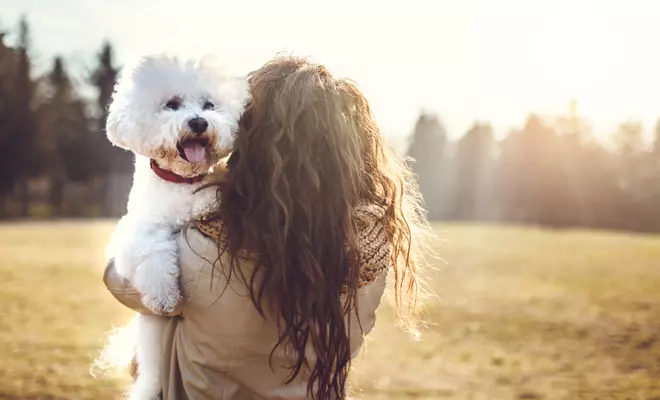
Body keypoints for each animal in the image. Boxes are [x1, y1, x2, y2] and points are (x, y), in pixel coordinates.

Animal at [104, 54, 249, 400]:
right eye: (171, 104)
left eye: (209, 105)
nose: (198, 122)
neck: (182, 180)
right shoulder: (135, 231)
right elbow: (152, 249)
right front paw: (163, 296)